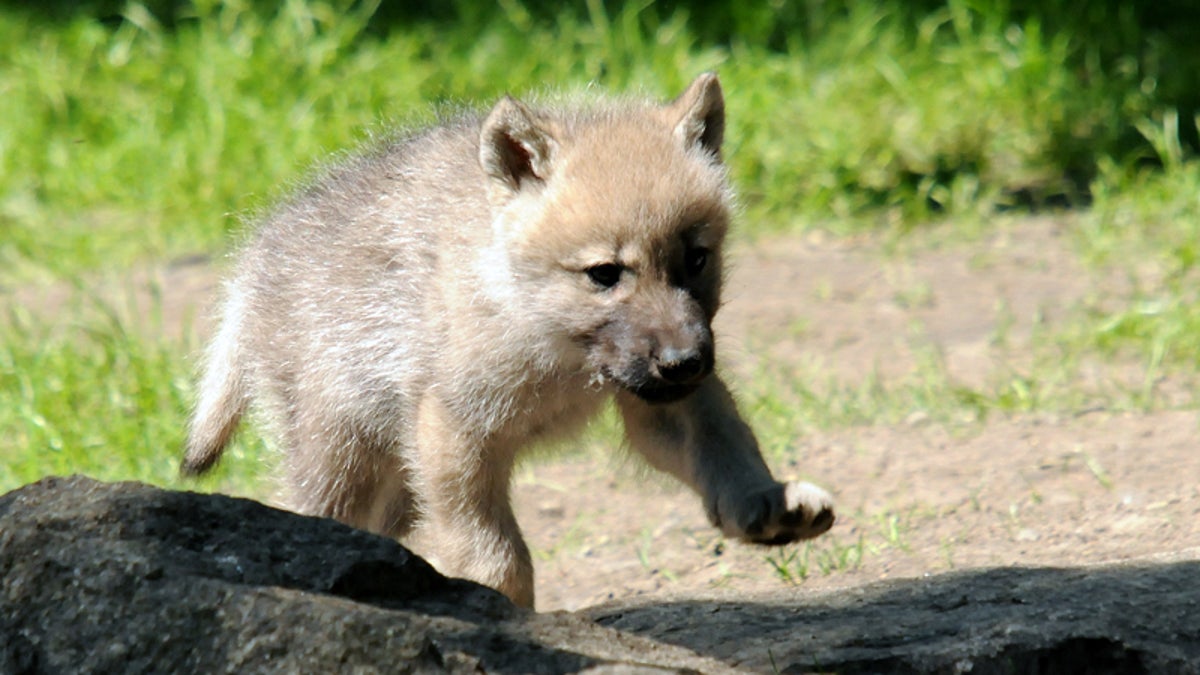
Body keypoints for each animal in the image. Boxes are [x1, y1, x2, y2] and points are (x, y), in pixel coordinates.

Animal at [182, 73, 834, 608]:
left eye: (696, 259)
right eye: (604, 273)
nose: (687, 362)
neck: (550, 341)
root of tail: (251, 270)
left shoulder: (659, 402)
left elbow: (727, 446)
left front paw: (769, 505)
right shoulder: (454, 429)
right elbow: (494, 556)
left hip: (395, 478)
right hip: (342, 452)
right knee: (313, 514)